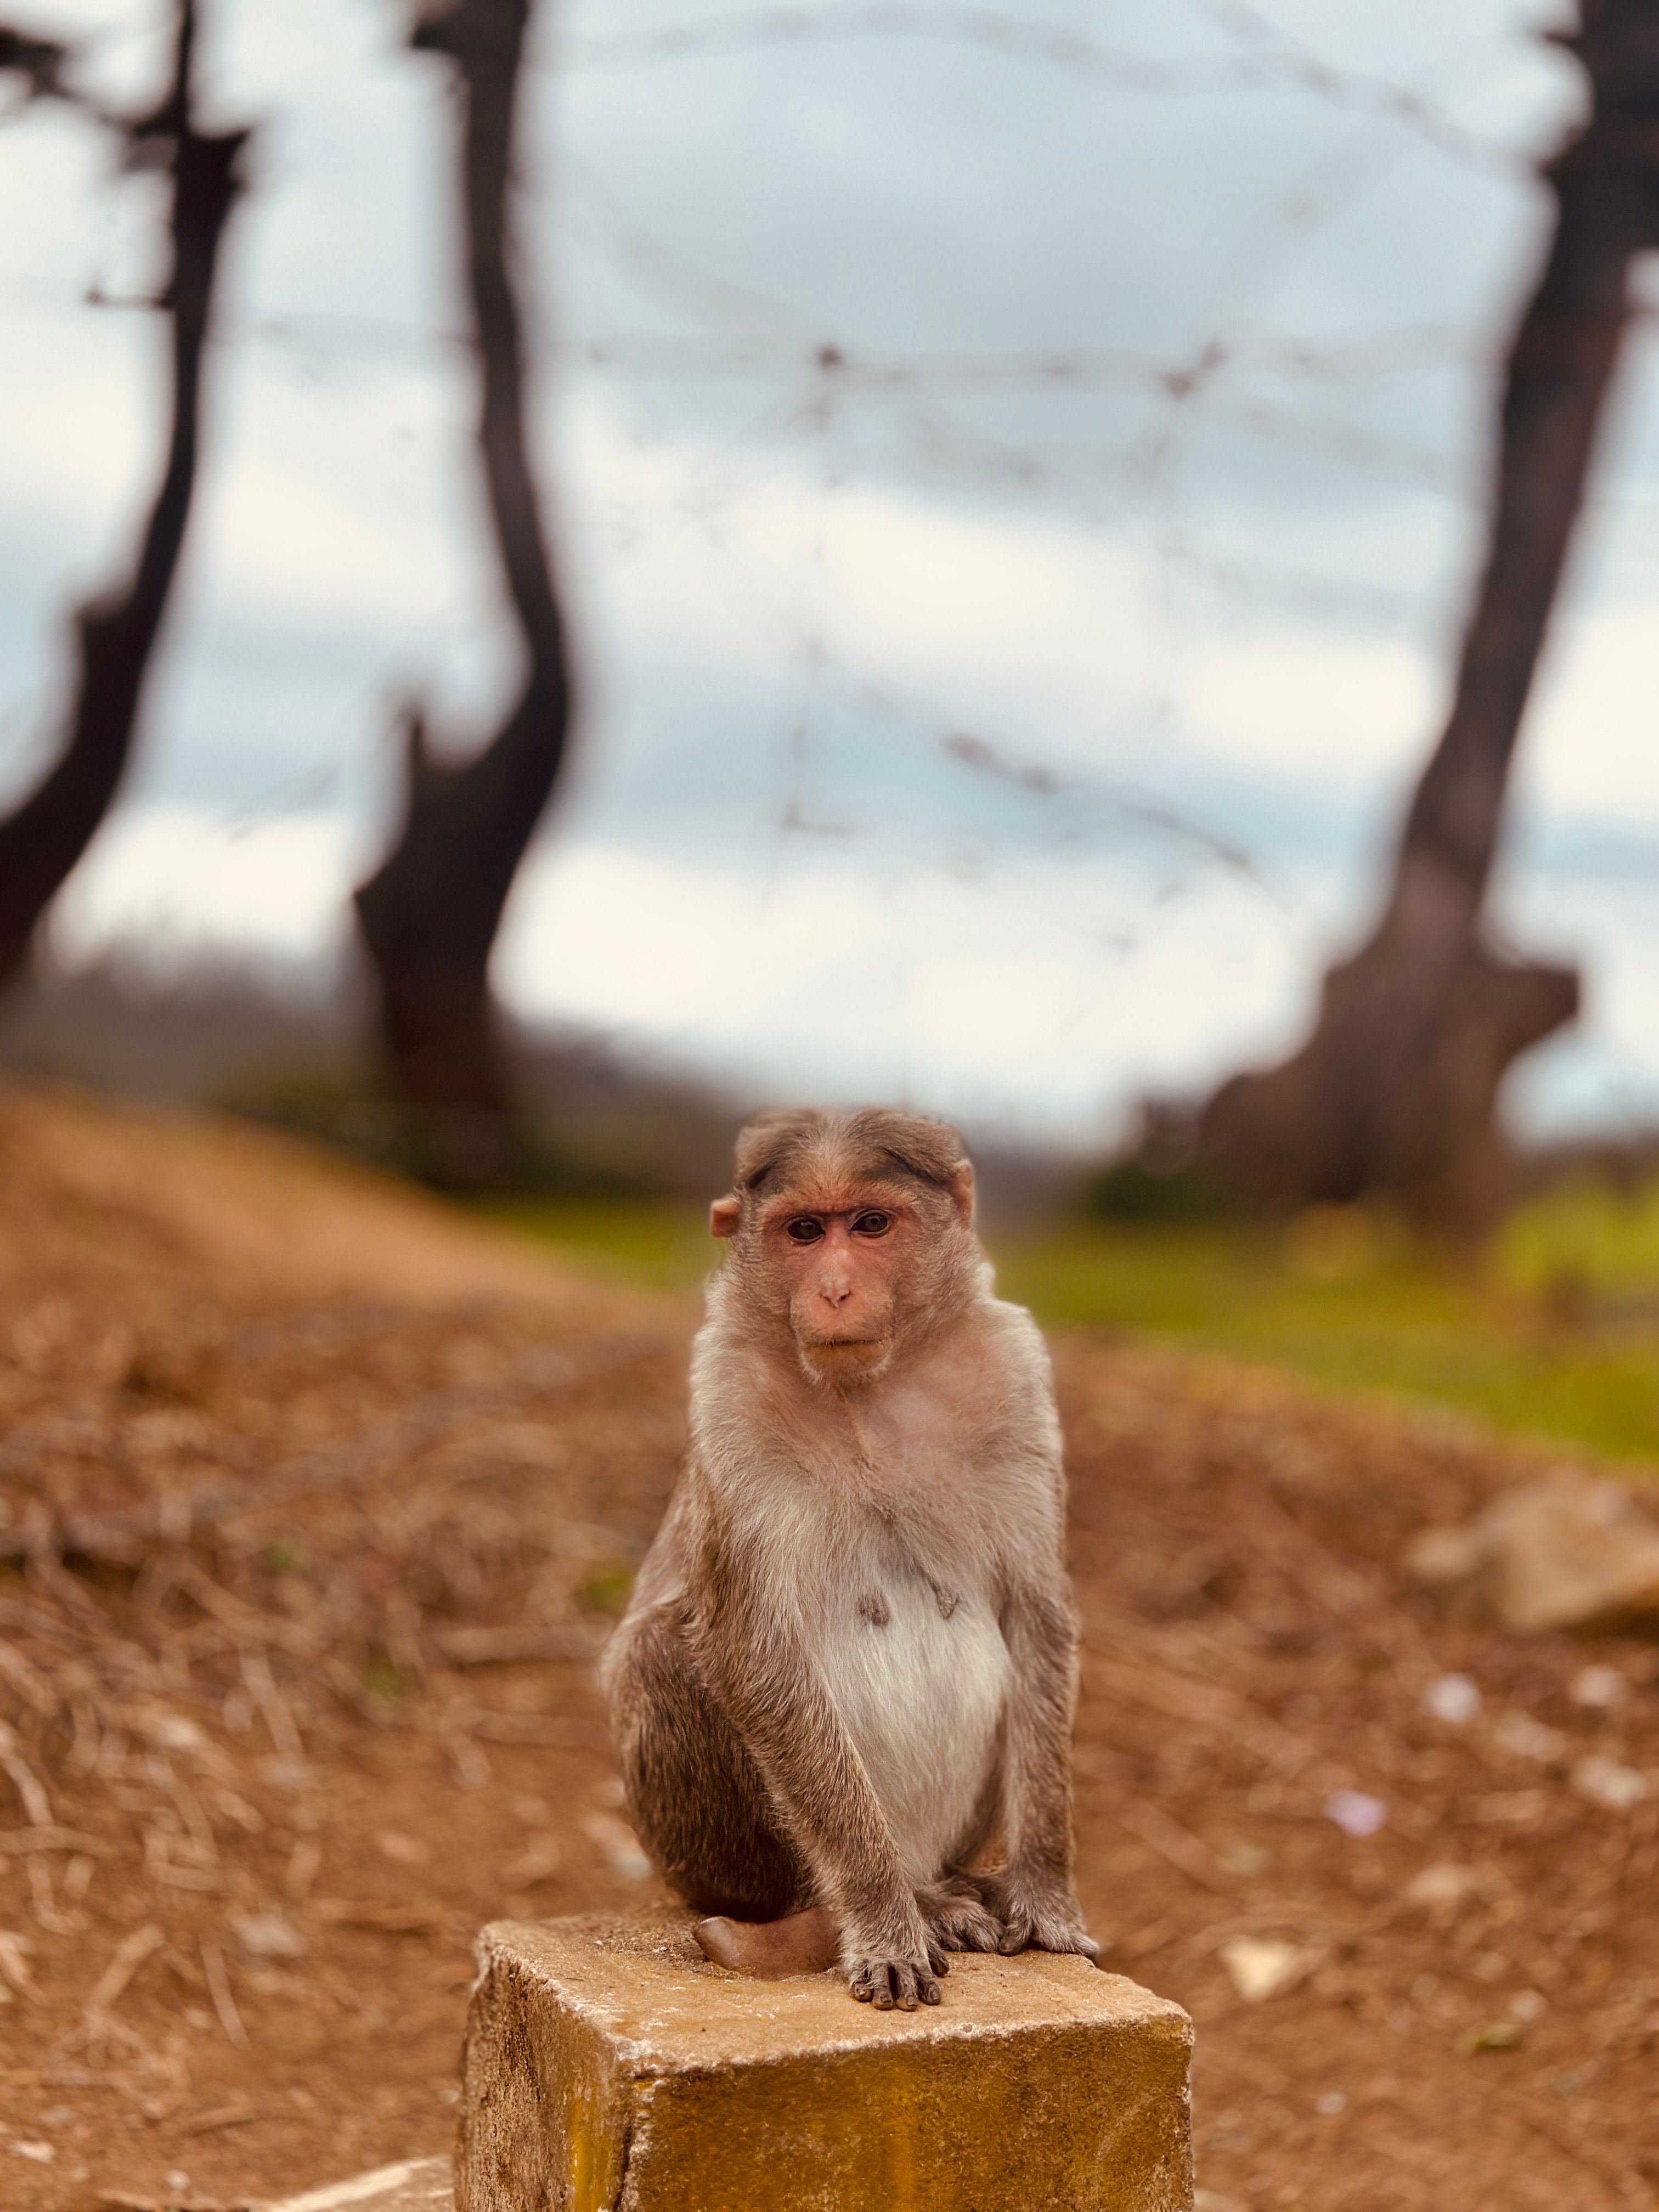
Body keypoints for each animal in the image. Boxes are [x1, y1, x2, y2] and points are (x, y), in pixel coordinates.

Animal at [600, 1107, 1096, 2011]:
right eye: (804, 1231)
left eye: (870, 1225)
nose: (834, 1290)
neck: (870, 1388)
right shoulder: (727, 1389)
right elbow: (757, 1653)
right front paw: (881, 1918)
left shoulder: (1015, 1371)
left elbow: (1039, 1618)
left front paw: (1045, 1891)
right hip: (704, 1868)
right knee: (659, 1649)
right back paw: (882, 1905)